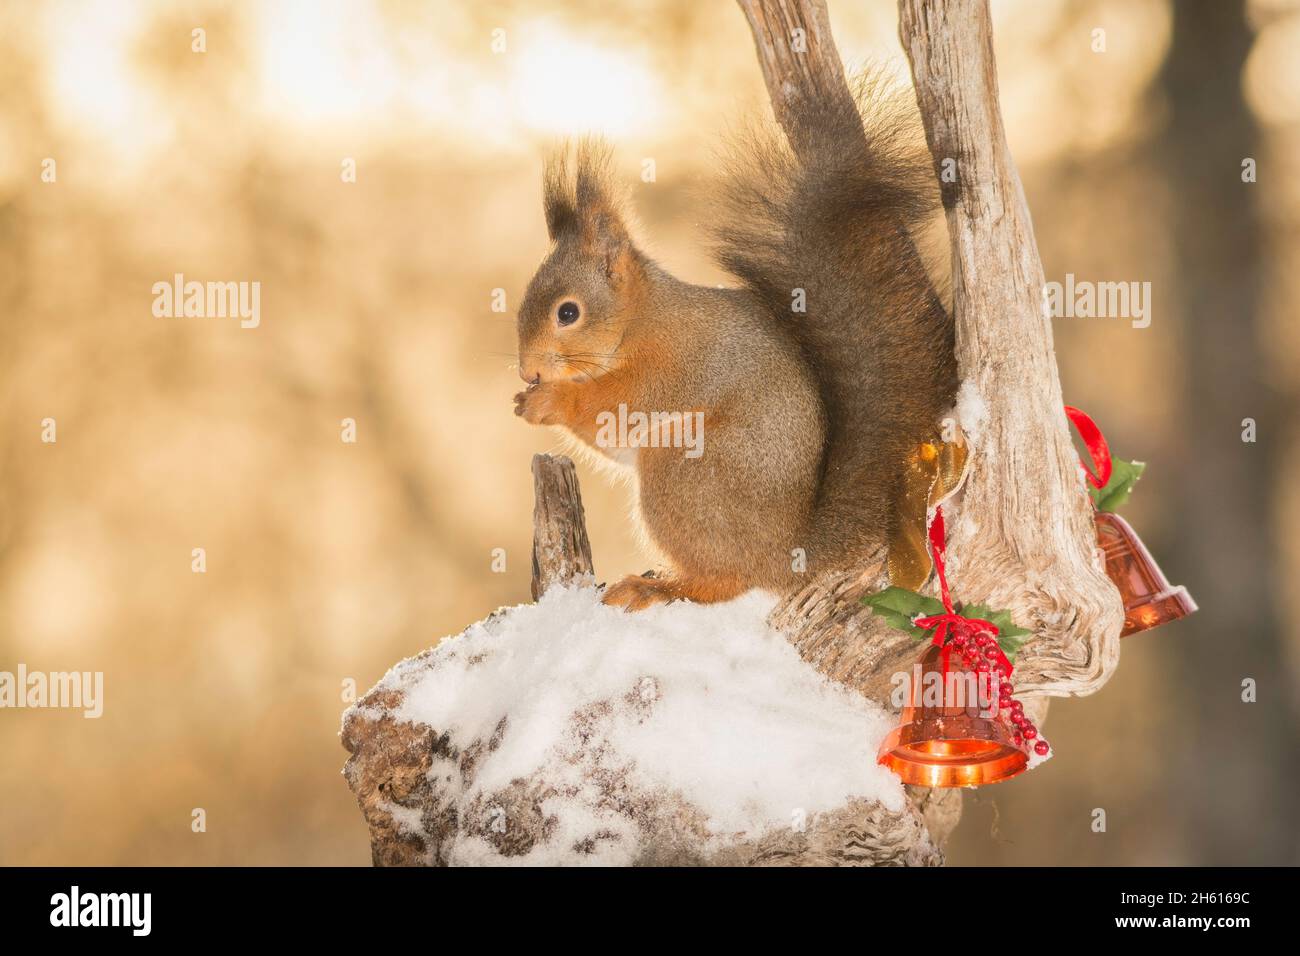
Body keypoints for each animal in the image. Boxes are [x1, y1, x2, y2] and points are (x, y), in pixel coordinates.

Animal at [514, 77, 956, 611]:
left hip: (685, 476)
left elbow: (616, 406)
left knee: (726, 581)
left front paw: (550, 400)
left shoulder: (674, 365)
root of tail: (785, 552)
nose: (528, 371)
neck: (640, 321)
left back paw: (657, 586)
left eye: (568, 313)